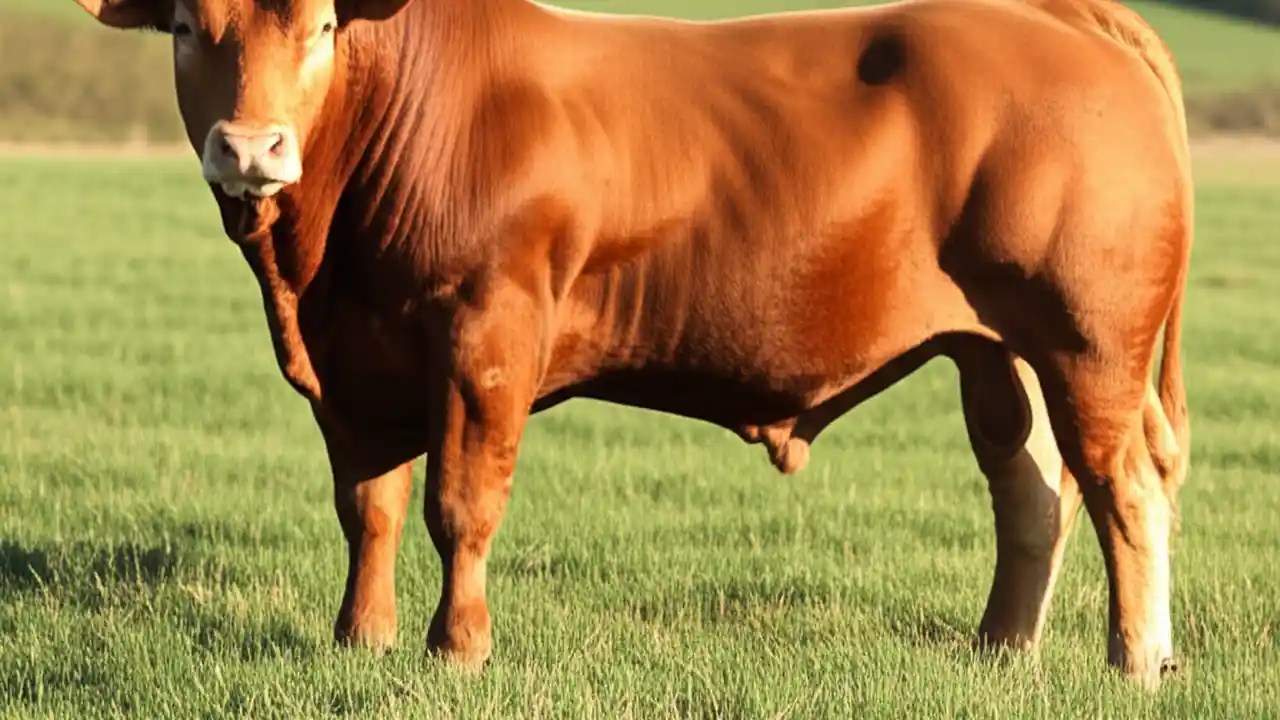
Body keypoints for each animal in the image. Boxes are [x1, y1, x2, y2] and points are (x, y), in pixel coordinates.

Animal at [73, 0, 1193, 687]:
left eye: (318, 25)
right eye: (188, 26)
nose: (249, 148)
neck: (314, 274)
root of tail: (1051, 15)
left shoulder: (485, 334)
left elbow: (458, 504)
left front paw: (456, 648)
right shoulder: (352, 370)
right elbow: (371, 510)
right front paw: (361, 641)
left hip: (1088, 342)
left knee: (1122, 485)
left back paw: (1135, 660)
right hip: (997, 350)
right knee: (1031, 489)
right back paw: (1000, 650)